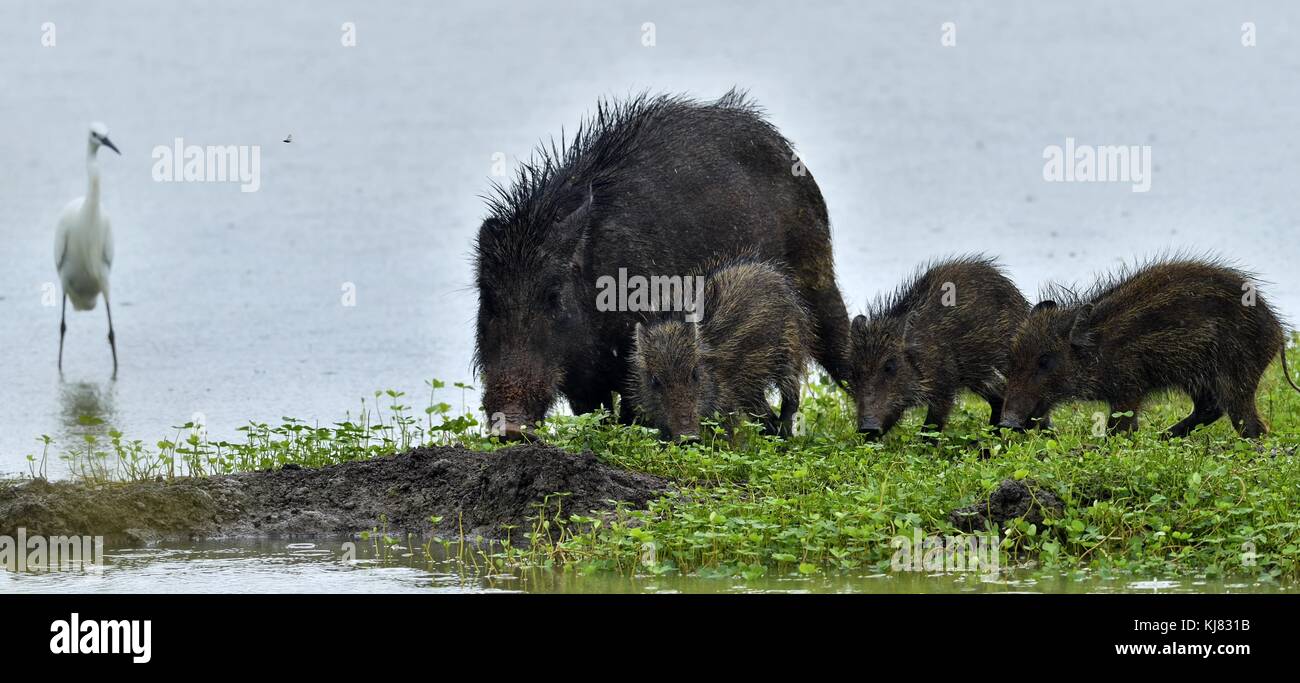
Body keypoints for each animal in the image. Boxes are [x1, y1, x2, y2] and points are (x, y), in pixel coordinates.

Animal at [630, 258, 810, 441]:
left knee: (792, 397)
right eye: (655, 381)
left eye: (694, 373)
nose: (689, 437)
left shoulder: (728, 403)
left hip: (789, 352)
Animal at [849, 256, 1030, 438]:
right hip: (978, 374)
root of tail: (1022, 303)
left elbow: (931, 429)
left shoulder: (945, 388)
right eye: (854, 371)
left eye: (889, 366)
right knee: (999, 397)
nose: (867, 428)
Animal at [1000, 257, 1298, 438]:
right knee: (1211, 408)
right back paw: (1164, 438)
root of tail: (1278, 331)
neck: (1096, 350)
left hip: (1235, 376)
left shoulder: (1128, 389)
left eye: (1045, 360)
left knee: (1252, 426)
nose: (1007, 422)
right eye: (1011, 360)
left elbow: (1120, 428)